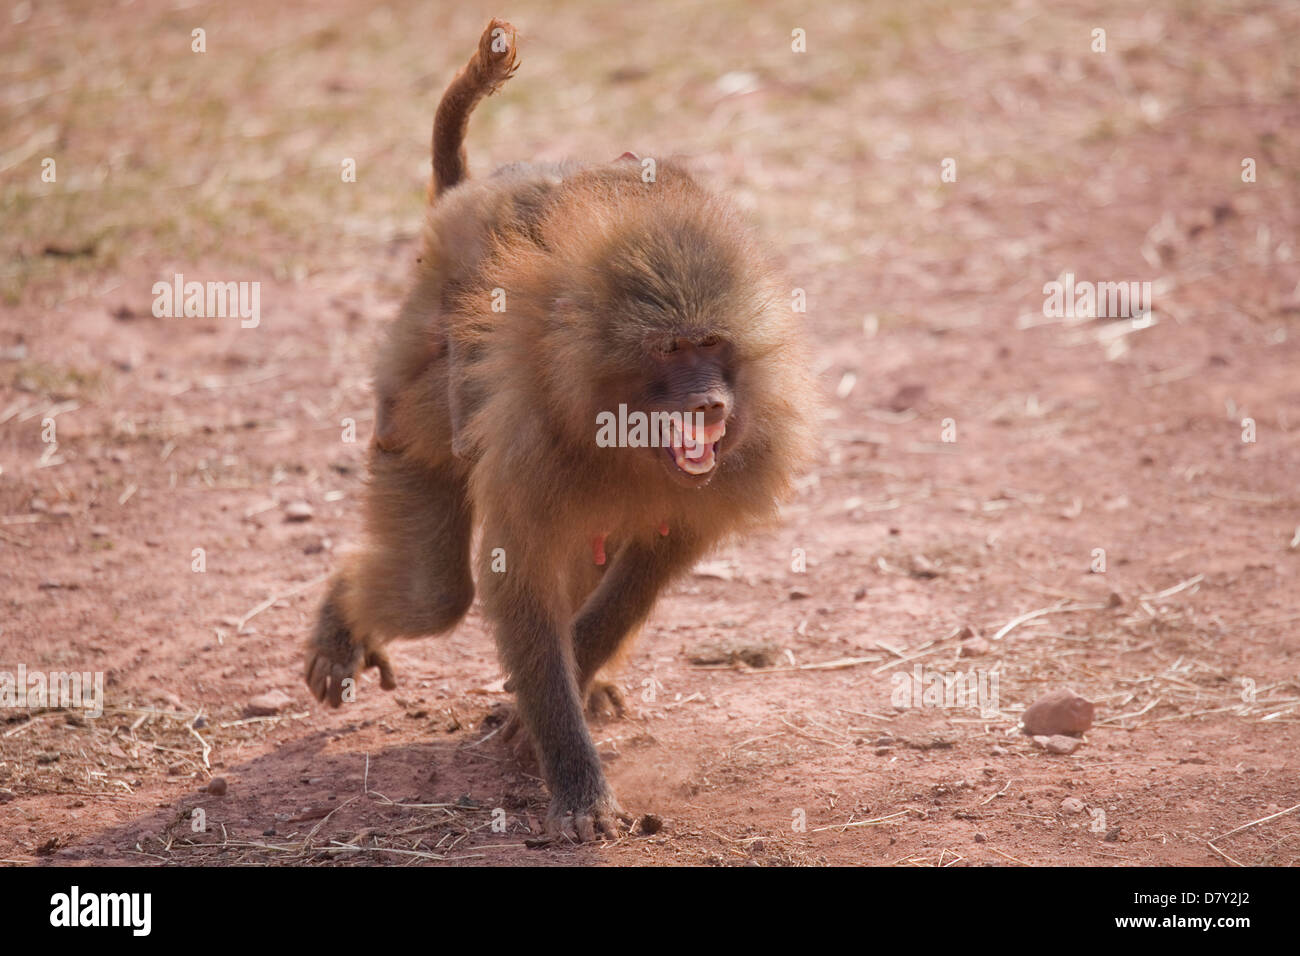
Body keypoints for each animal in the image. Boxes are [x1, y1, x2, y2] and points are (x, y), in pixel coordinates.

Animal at [305, 18, 815, 842]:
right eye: (671, 351)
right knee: (433, 592)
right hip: (404, 424)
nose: (710, 406)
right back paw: (341, 625)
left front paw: (554, 697)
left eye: (714, 345)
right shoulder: (533, 445)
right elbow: (514, 580)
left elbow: (645, 571)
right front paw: (575, 782)